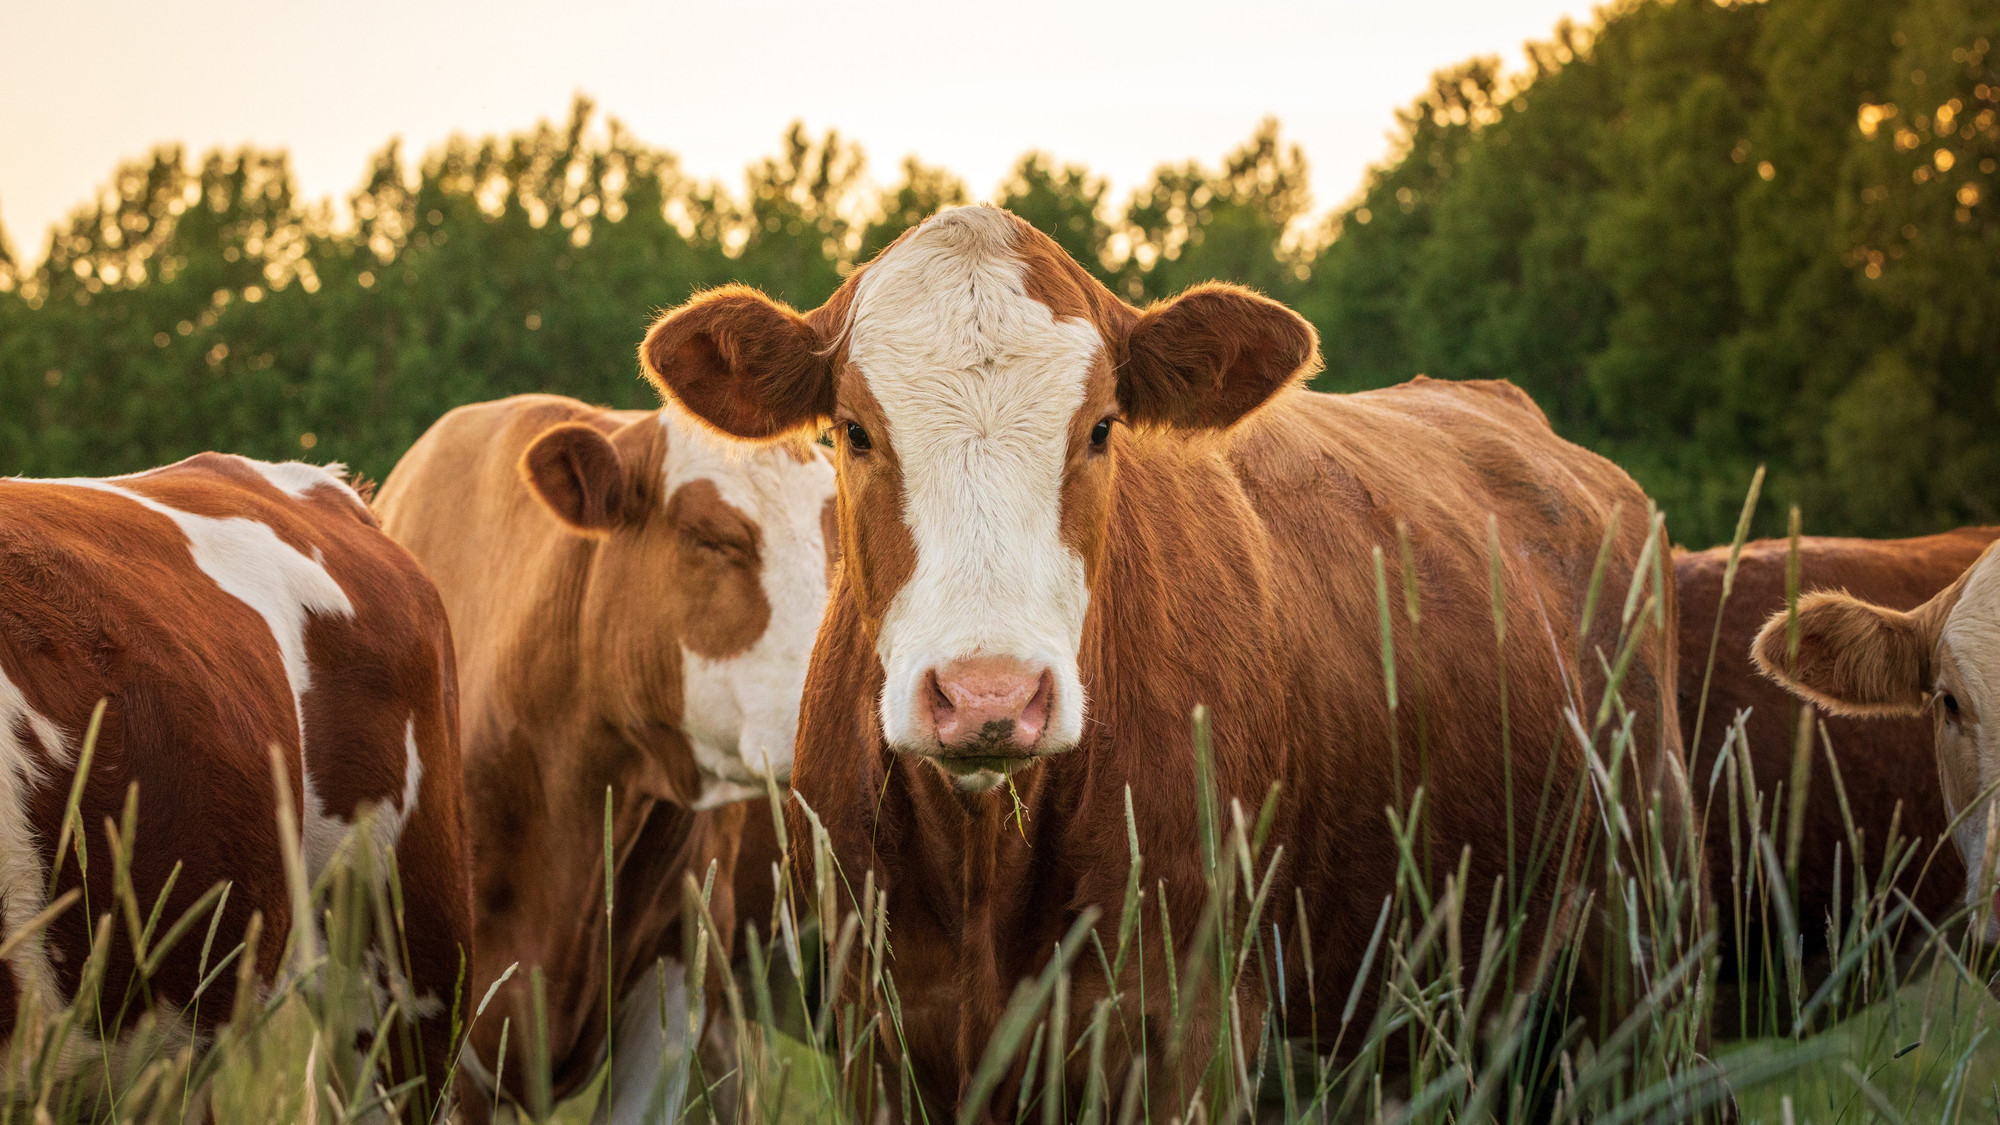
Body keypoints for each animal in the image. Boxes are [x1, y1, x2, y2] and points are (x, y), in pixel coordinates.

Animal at [636, 205, 1695, 1120]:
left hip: (1636, 942)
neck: (984, 863)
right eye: (854, 430)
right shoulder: (876, 1032)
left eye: (1102, 427)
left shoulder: (1189, 1029)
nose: (988, 694)